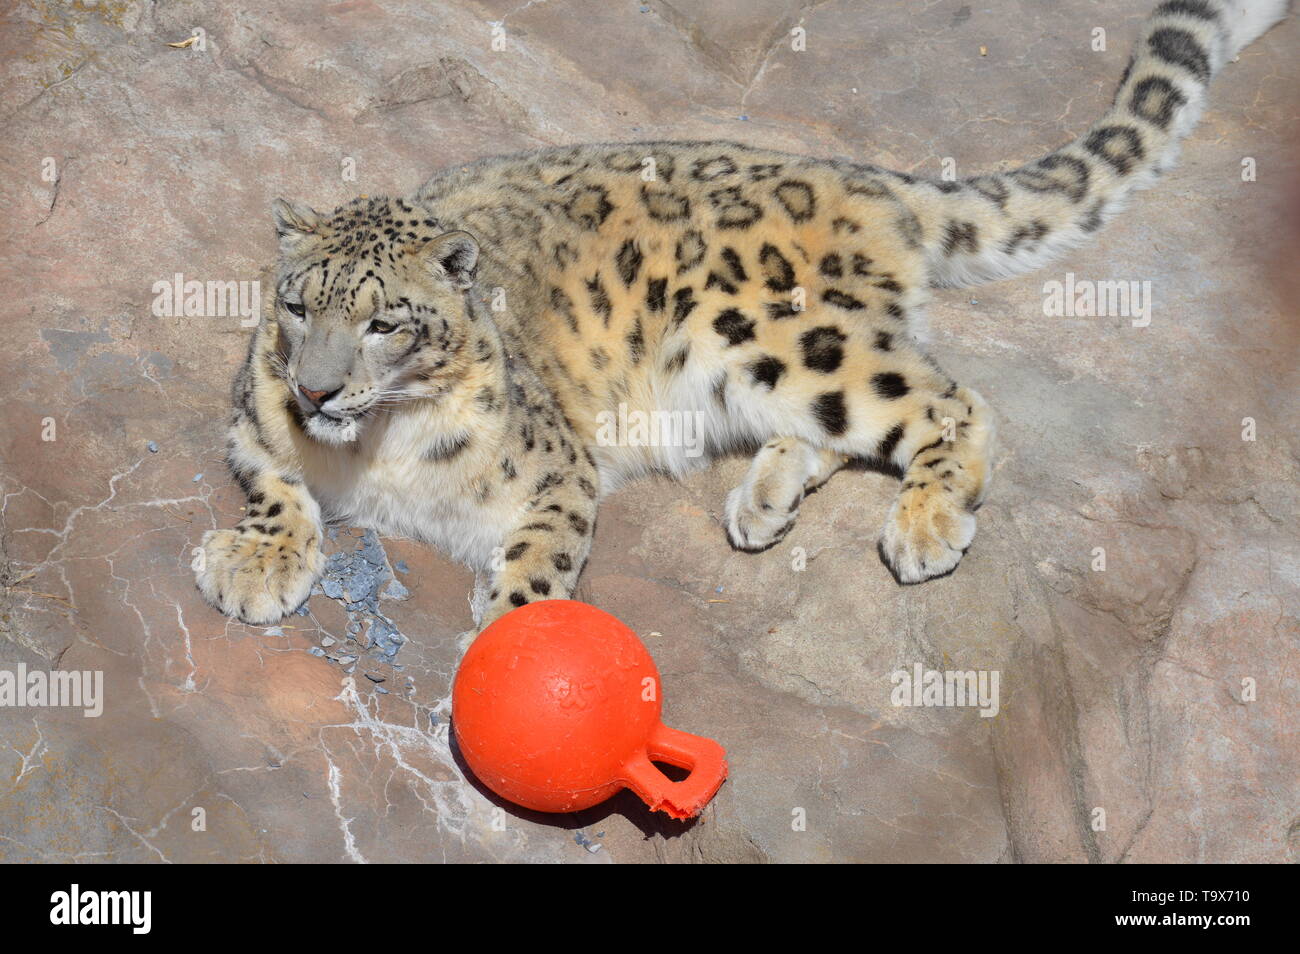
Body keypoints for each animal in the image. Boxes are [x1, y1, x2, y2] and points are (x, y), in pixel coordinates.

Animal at [195, 0, 1290, 631]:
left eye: (386, 323)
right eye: (295, 304)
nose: (317, 391)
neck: (375, 454)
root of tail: (864, 178)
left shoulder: (556, 474)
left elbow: (538, 563)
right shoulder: (251, 423)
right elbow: (278, 485)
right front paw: (252, 564)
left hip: (772, 336)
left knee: (945, 400)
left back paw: (924, 525)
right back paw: (763, 499)